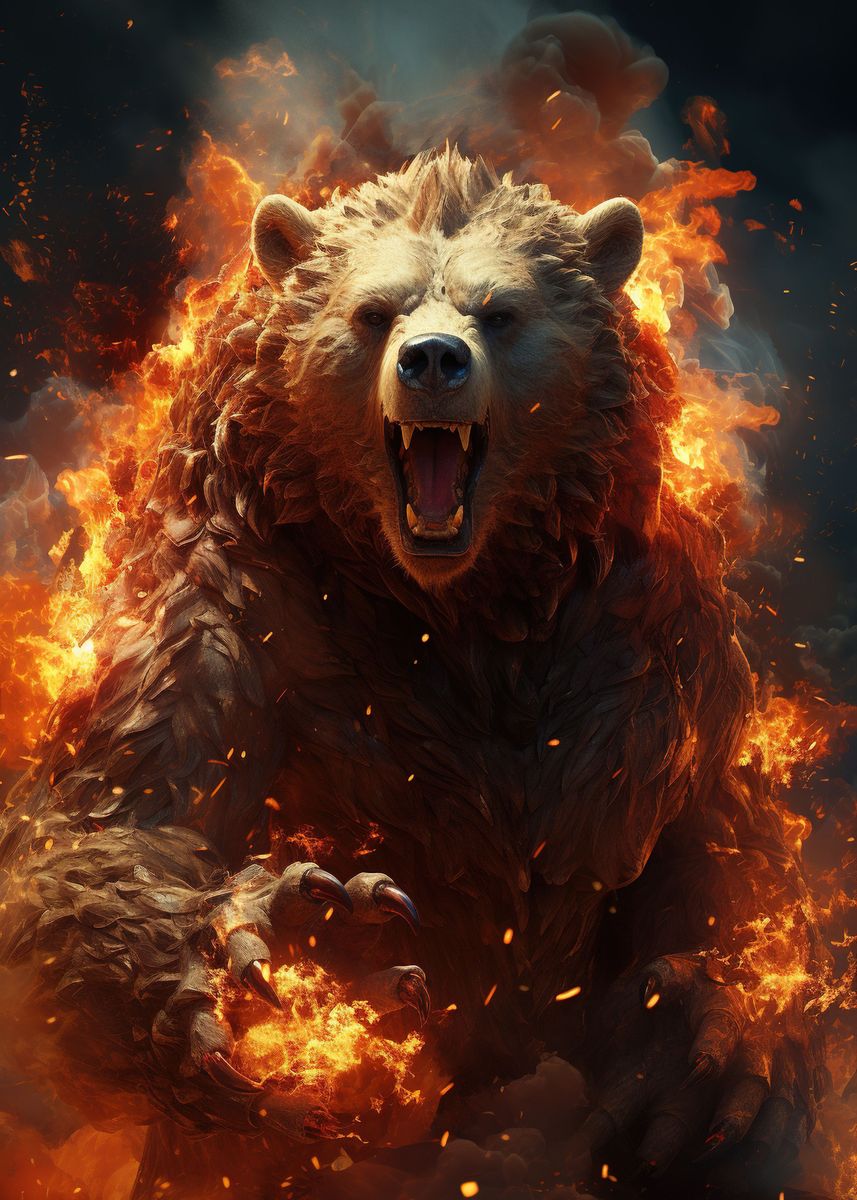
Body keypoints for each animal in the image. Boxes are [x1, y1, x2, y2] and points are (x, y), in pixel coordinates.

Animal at [0, 147, 821, 1197]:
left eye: (500, 311)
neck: (455, 600)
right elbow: (114, 811)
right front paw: (293, 934)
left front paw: (693, 1048)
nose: (433, 360)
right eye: (373, 310)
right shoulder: (234, 598)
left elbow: (705, 822)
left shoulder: (640, 632)